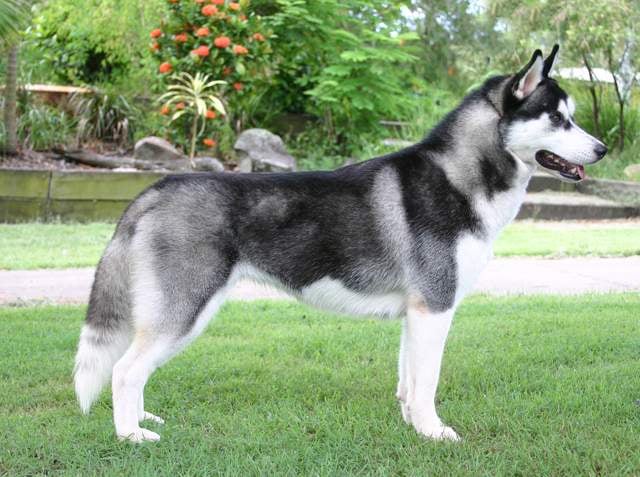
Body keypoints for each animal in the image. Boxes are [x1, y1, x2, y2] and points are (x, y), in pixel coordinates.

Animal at [74, 45, 607, 442]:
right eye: (558, 119)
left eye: (571, 117)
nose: (602, 149)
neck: (459, 177)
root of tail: (156, 188)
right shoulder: (435, 306)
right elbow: (428, 383)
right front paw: (434, 433)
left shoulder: (416, 311)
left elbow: (409, 382)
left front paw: (412, 426)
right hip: (185, 308)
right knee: (124, 370)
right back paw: (130, 435)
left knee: (135, 369)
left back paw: (141, 418)